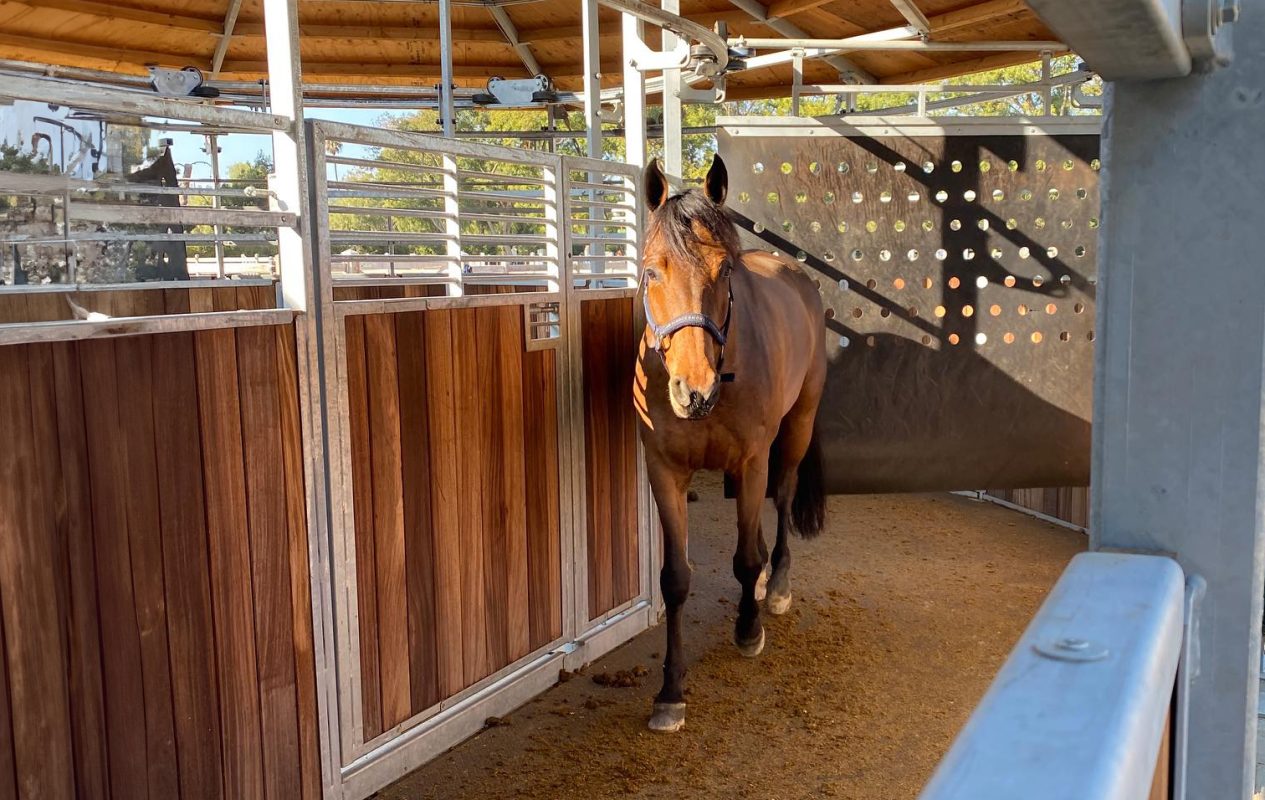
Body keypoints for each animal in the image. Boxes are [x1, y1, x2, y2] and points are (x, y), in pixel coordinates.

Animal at [633, 154, 828, 733]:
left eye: (724, 272)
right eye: (651, 271)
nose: (693, 389)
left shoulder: (752, 457)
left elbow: (742, 559)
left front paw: (748, 629)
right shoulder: (665, 471)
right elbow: (675, 578)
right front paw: (670, 692)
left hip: (795, 430)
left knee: (781, 498)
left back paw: (776, 586)